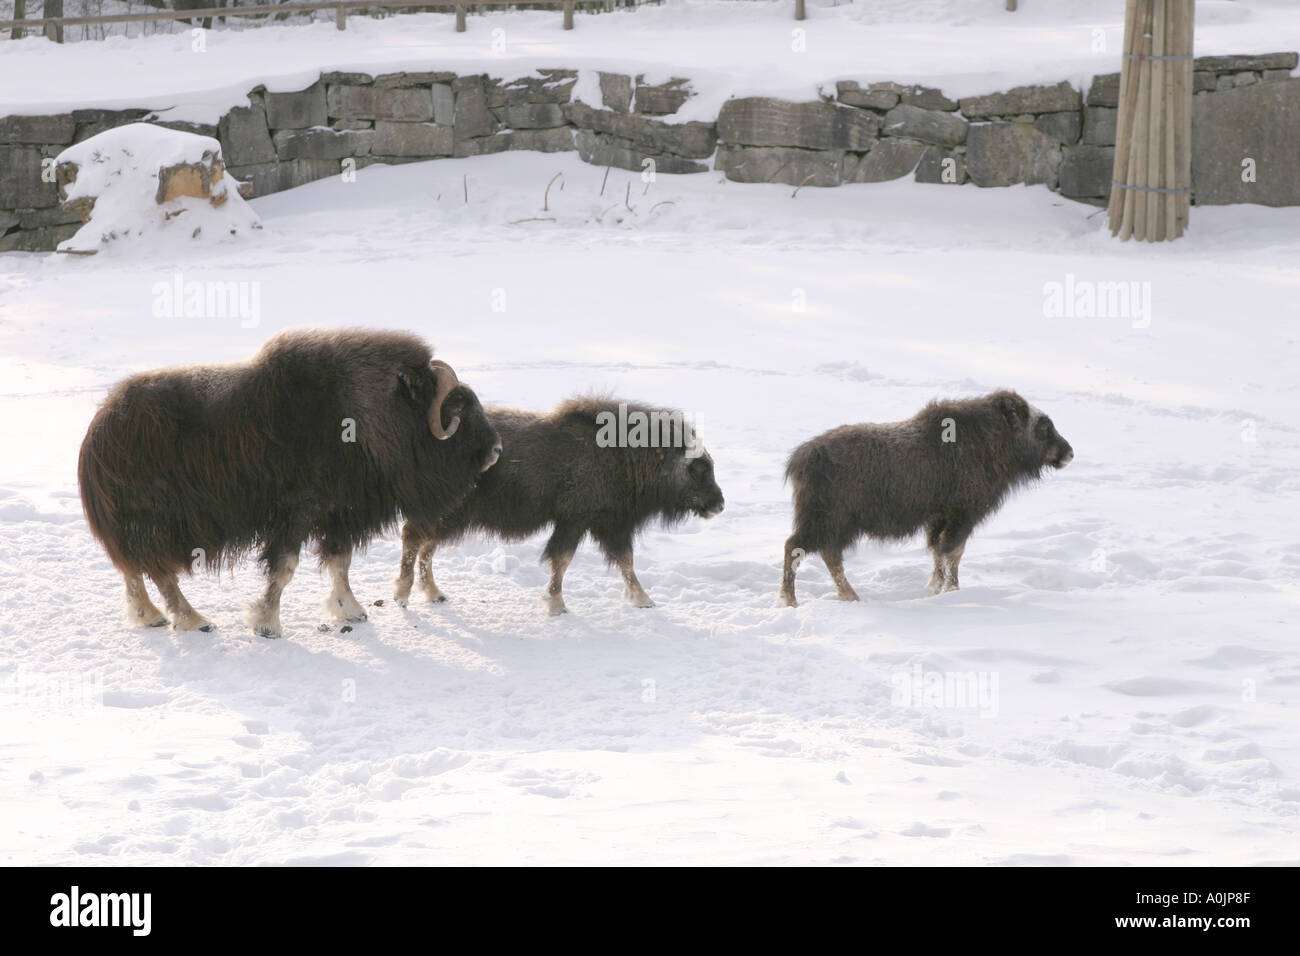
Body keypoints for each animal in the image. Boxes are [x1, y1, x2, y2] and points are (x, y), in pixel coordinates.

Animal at [77, 327, 501, 634]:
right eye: (457, 406)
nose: (496, 450)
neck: (369, 414)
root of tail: (98, 430)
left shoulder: (339, 511)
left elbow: (340, 561)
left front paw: (350, 610)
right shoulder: (300, 511)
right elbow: (286, 565)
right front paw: (267, 624)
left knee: (134, 569)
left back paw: (150, 616)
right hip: (154, 522)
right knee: (159, 571)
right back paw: (194, 620)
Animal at [390, 395, 728, 613]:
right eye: (696, 467)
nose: (719, 504)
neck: (626, 456)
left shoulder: (610, 525)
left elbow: (626, 561)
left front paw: (643, 599)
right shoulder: (575, 521)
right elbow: (562, 559)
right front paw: (556, 605)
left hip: (454, 518)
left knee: (427, 545)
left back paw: (434, 593)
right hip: (449, 513)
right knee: (414, 537)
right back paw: (402, 595)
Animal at [774, 390, 1071, 606]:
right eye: (1043, 427)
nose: (1069, 453)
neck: (993, 441)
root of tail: (804, 457)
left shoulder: (939, 518)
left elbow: (938, 551)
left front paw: (935, 587)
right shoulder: (962, 516)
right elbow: (953, 552)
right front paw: (951, 590)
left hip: (836, 526)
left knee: (828, 555)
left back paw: (850, 596)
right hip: (828, 521)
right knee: (796, 548)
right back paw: (791, 601)